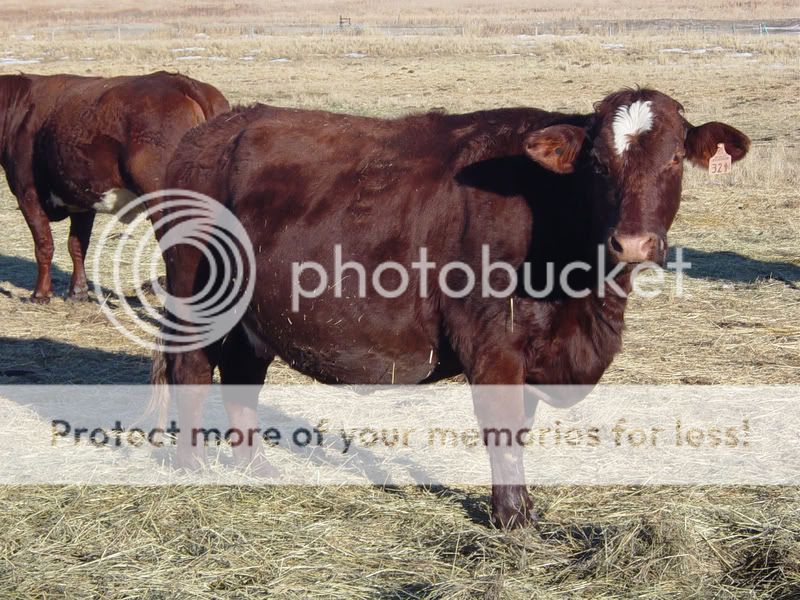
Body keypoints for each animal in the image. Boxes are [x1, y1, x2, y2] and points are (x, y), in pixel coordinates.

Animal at [0, 71, 229, 302]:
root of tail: (182, 83)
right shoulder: (81, 198)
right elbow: (77, 245)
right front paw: (78, 292)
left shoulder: (27, 193)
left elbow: (44, 245)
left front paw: (40, 294)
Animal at [151, 88, 749, 528]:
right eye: (598, 164)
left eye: (675, 158)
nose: (633, 243)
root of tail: (219, 127)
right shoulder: (491, 341)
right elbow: (502, 425)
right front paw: (512, 518)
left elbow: (521, 425)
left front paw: (523, 508)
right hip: (193, 293)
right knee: (191, 370)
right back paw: (191, 465)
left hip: (254, 311)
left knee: (242, 375)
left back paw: (256, 465)